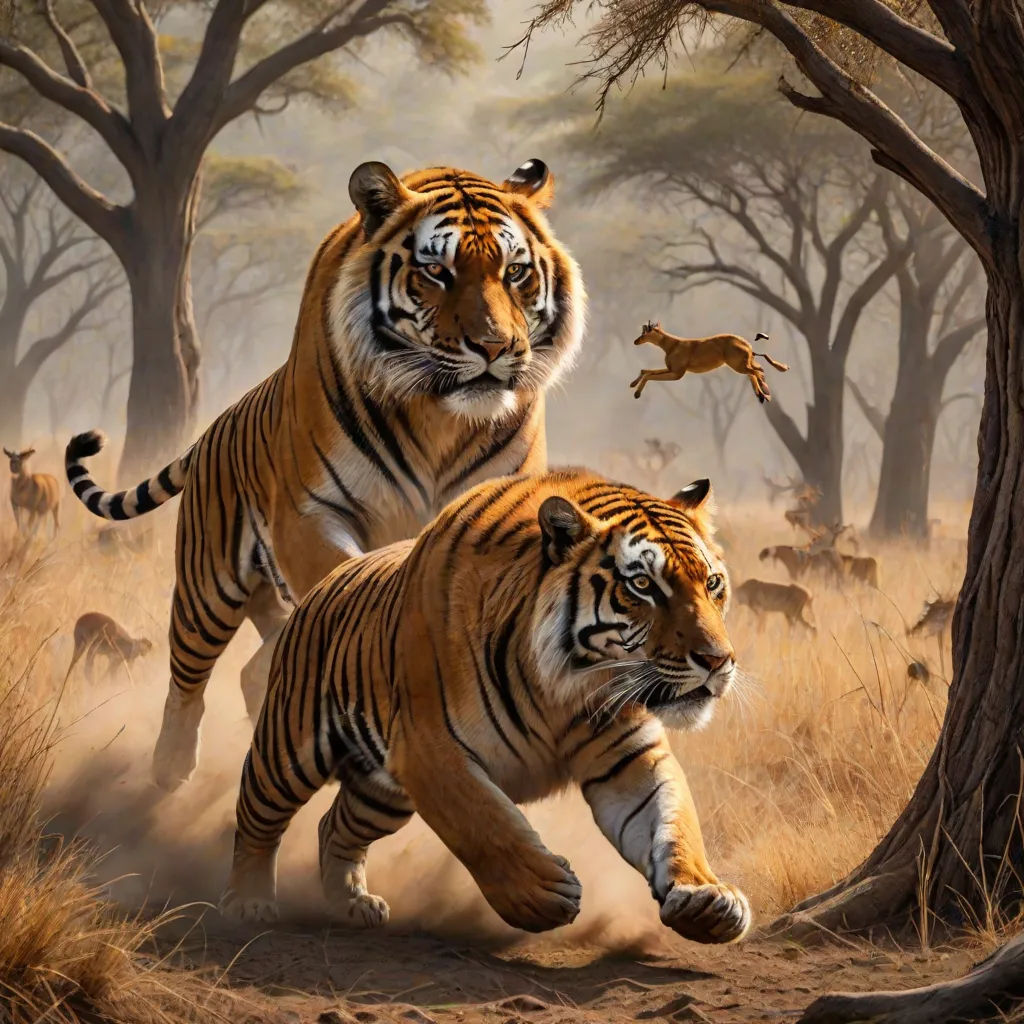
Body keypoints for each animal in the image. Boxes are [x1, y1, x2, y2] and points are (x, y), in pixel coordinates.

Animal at [64, 159, 585, 793]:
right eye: (436, 271)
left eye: (515, 273)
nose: (494, 347)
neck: (439, 415)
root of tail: (212, 429)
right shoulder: (310, 515)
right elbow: (351, 584)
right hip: (208, 585)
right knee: (187, 677)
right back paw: (171, 768)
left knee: (254, 667)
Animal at [220, 469, 751, 945]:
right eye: (642, 586)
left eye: (713, 583)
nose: (717, 660)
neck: (569, 683)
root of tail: (329, 579)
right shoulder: (430, 751)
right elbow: (484, 824)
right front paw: (542, 893)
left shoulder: (630, 756)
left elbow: (672, 819)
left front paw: (706, 897)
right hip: (289, 751)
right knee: (256, 815)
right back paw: (249, 902)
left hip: (381, 794)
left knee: (335, 826)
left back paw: (352, 903)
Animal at [628, 320, 789, 402]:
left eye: (645, 332)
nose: (636, 341)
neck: (672, 345)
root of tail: (749, 347)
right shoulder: (672, 369)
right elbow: (646, 371)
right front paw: (632, 384)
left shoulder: (677, 374)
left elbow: (649, 374)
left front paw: (636, 393)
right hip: (743, 364)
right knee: (756, 371)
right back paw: (762, 395)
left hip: (738, 365)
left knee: (758, 371)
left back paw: (765, 394)